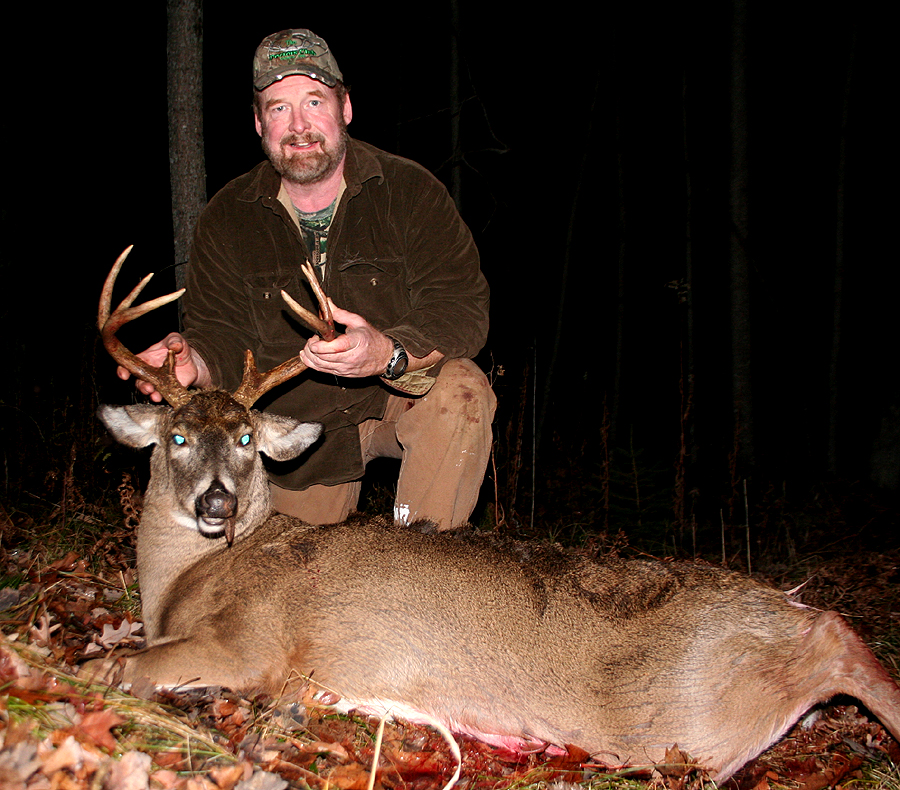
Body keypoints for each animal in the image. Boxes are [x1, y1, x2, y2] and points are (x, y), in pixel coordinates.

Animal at [88, 247, 900, 783]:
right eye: (176, 437)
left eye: (248, 440)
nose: (216, 502)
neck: (184, 582)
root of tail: (778, 603)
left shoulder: (250, 646)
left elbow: (119, 665)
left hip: (678, 716)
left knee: (835, 634)